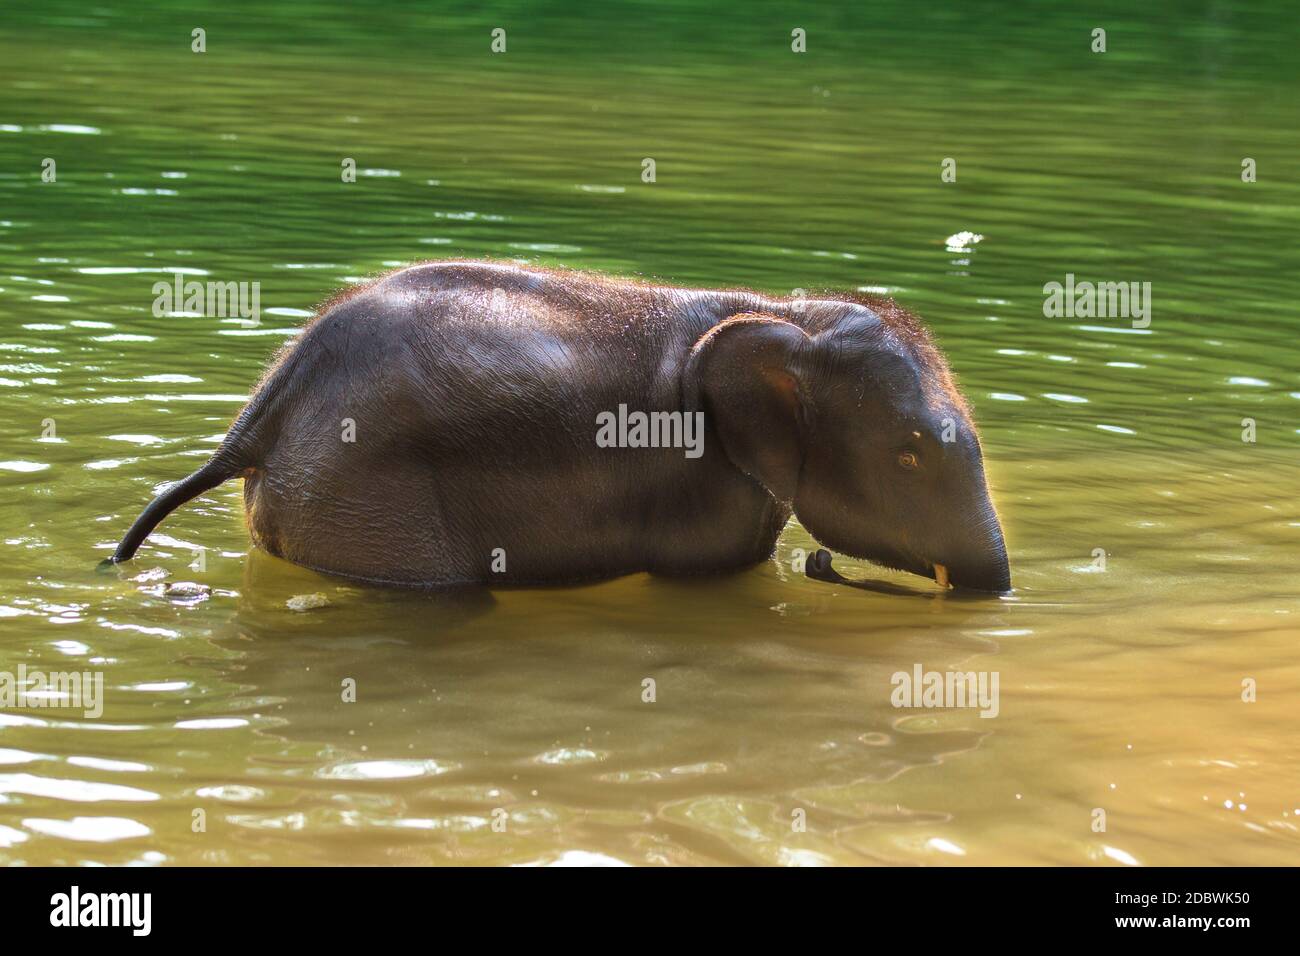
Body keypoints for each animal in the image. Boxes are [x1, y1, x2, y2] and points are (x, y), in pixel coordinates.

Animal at [110, 260, 1011, 593]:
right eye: (908, 457)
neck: (789, 312)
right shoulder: (701, 480)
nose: (825, 565)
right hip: (373, 493)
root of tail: (263, 408)